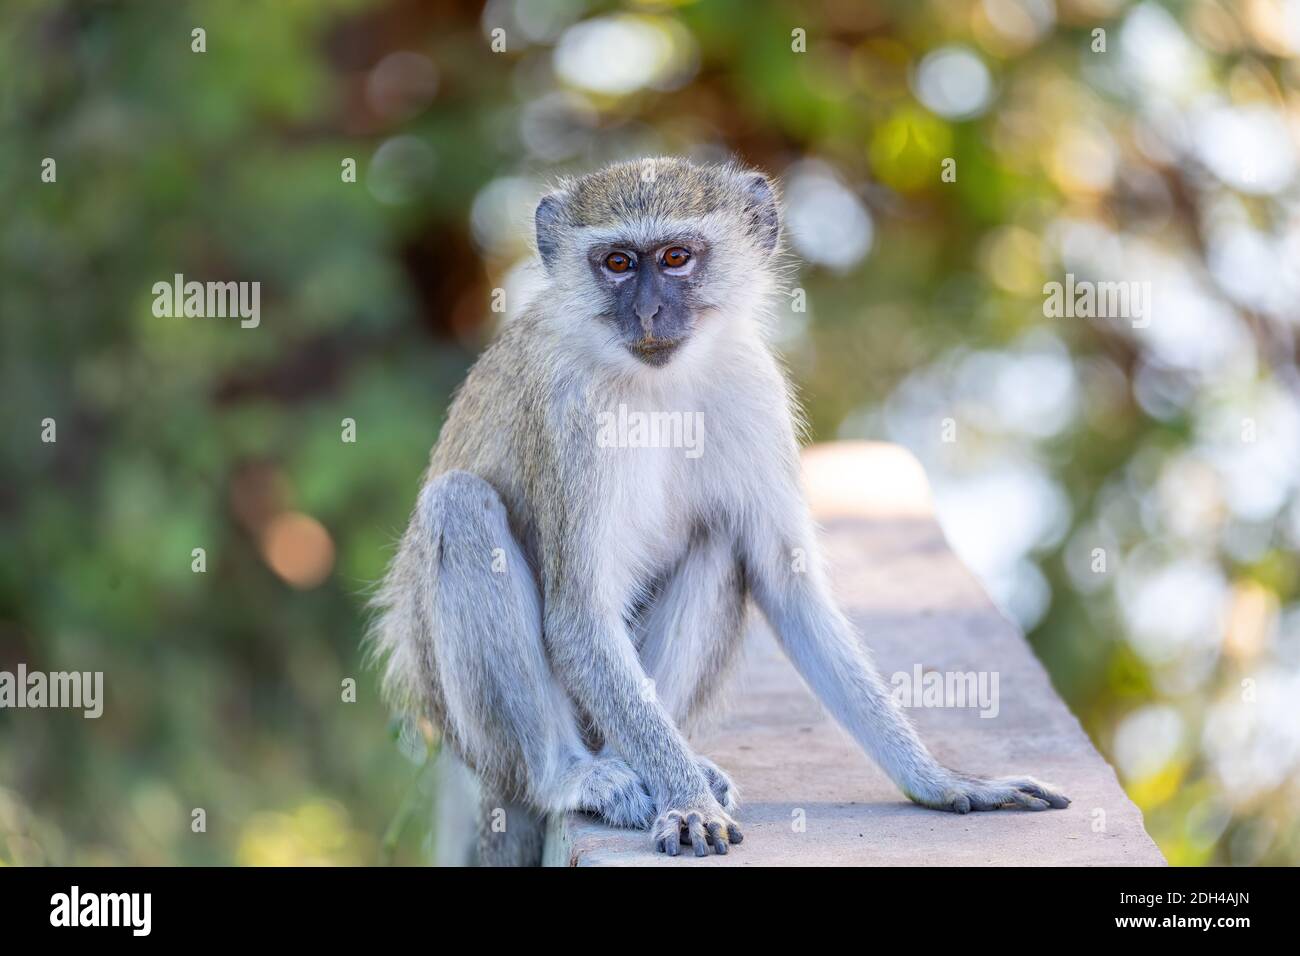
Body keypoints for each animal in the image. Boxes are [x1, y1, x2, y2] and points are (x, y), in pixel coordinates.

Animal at [368, 157, 1069, 865]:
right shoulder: (570, 412)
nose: (649, 310)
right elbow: (579, 617)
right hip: (464, 722)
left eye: (676, 257)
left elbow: (789, 586)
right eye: (618, 263)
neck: (659, 384)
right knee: (461, 507)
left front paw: (944, 781)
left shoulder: (753, 387)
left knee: (718, 539)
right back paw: (574, 774)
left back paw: (651, 762)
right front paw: (687, 802)